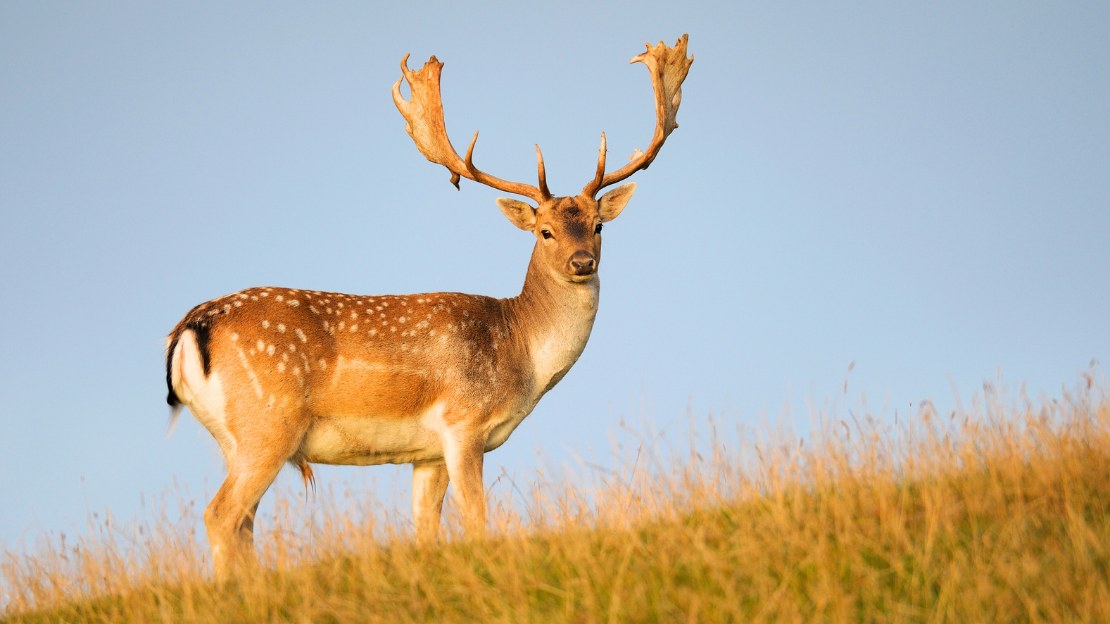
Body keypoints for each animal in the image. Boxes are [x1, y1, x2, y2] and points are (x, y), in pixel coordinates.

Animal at [164, 35, 692, 579]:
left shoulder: (427, 454)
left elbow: (425, 531)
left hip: (235, 438)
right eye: (544, 231)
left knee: (244, 522)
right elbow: (477, 519)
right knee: (221, 514)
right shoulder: (463, 424)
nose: (582, 261)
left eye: (598, 225)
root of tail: (190, 327)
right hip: (267, 424)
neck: (521, 354)